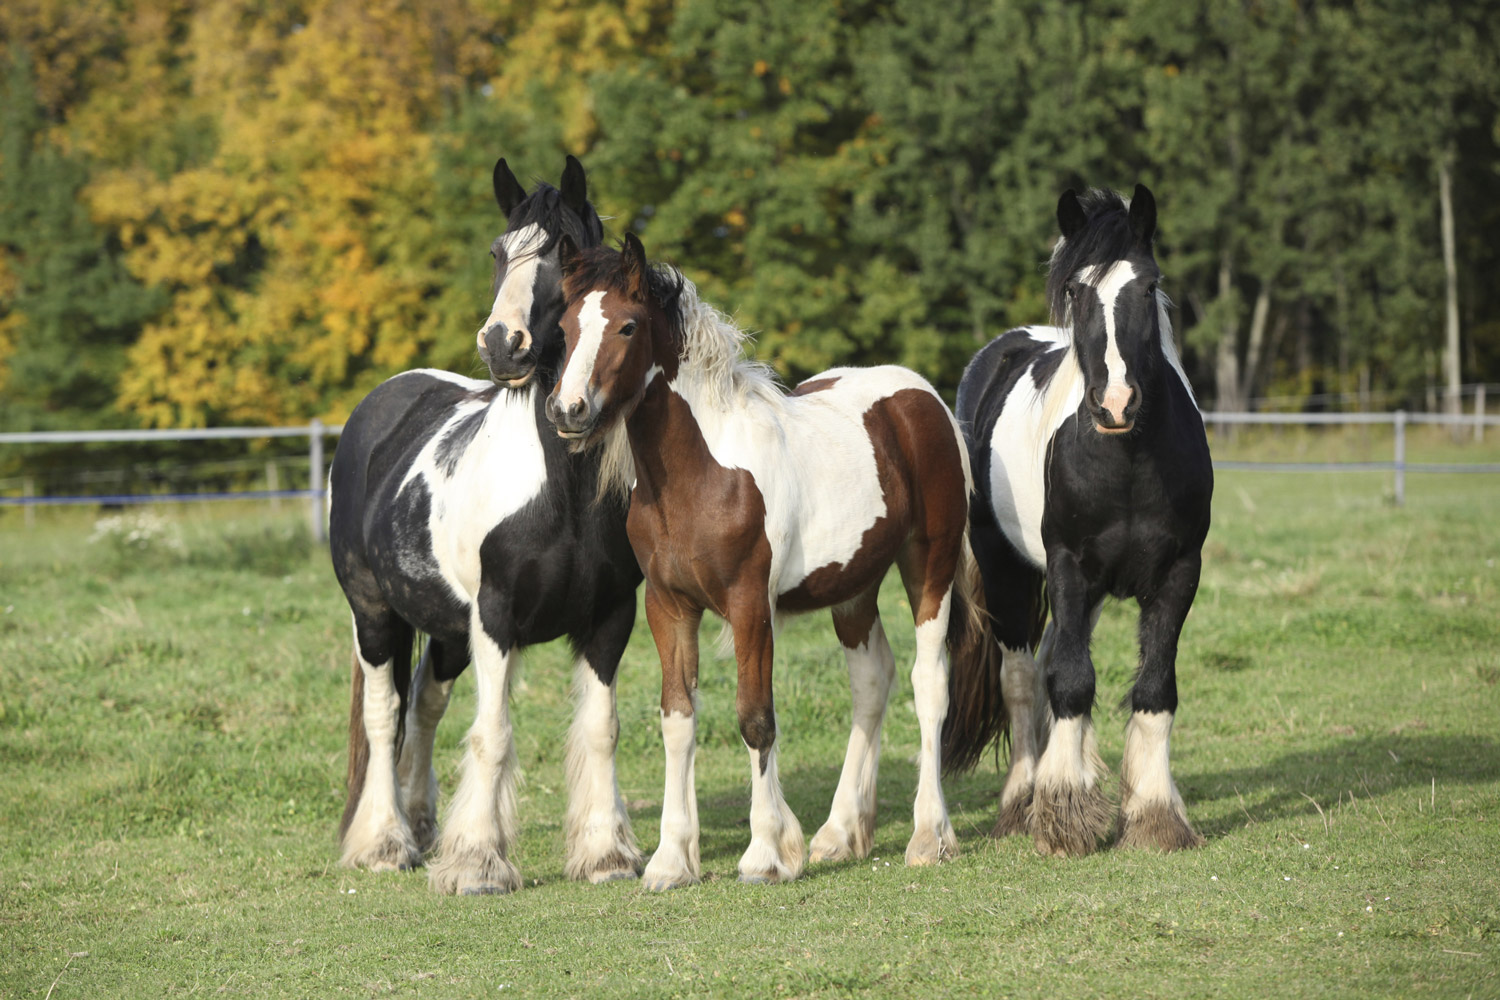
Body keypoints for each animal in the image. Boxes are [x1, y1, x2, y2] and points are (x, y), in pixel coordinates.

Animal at [328, 156, 644, 894]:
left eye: (566, 255)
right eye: (500, 252)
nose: (503, 344)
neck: (562, 495)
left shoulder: (610, 617)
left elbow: (599, 730)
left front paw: (605, 855)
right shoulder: (497, 619)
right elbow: (492, 734)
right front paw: (477, 862)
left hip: (446, 629)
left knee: (423, 705)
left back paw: (420, 828)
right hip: (375, 614)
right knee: (384, 716)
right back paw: (384, 842)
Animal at [544, 232, 999, 890]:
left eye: (627, 326)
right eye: (565, 324)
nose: (568, 411)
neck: (703, 473)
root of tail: (925, 399)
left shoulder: (748, 605)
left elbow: (755, 718)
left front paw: (767, 854)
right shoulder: (668, 607)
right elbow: (677, 720)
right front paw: (671, 861)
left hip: (929, 567)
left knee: (928, 683)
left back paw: (929, 836)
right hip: (853, 588)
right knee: (872, 682)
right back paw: (840, 834)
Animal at [943, 184, 1214, 857]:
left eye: (1148, 286)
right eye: (1075, 290)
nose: (1115, 403)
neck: (1127, 462)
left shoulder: (1179, 572)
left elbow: (1154, 687)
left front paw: (1154, 815)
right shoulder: (1067, 567)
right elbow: (1069, 681)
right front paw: (1063, 813)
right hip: (1009, 572)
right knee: (1022, 677)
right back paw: (1022, 800)